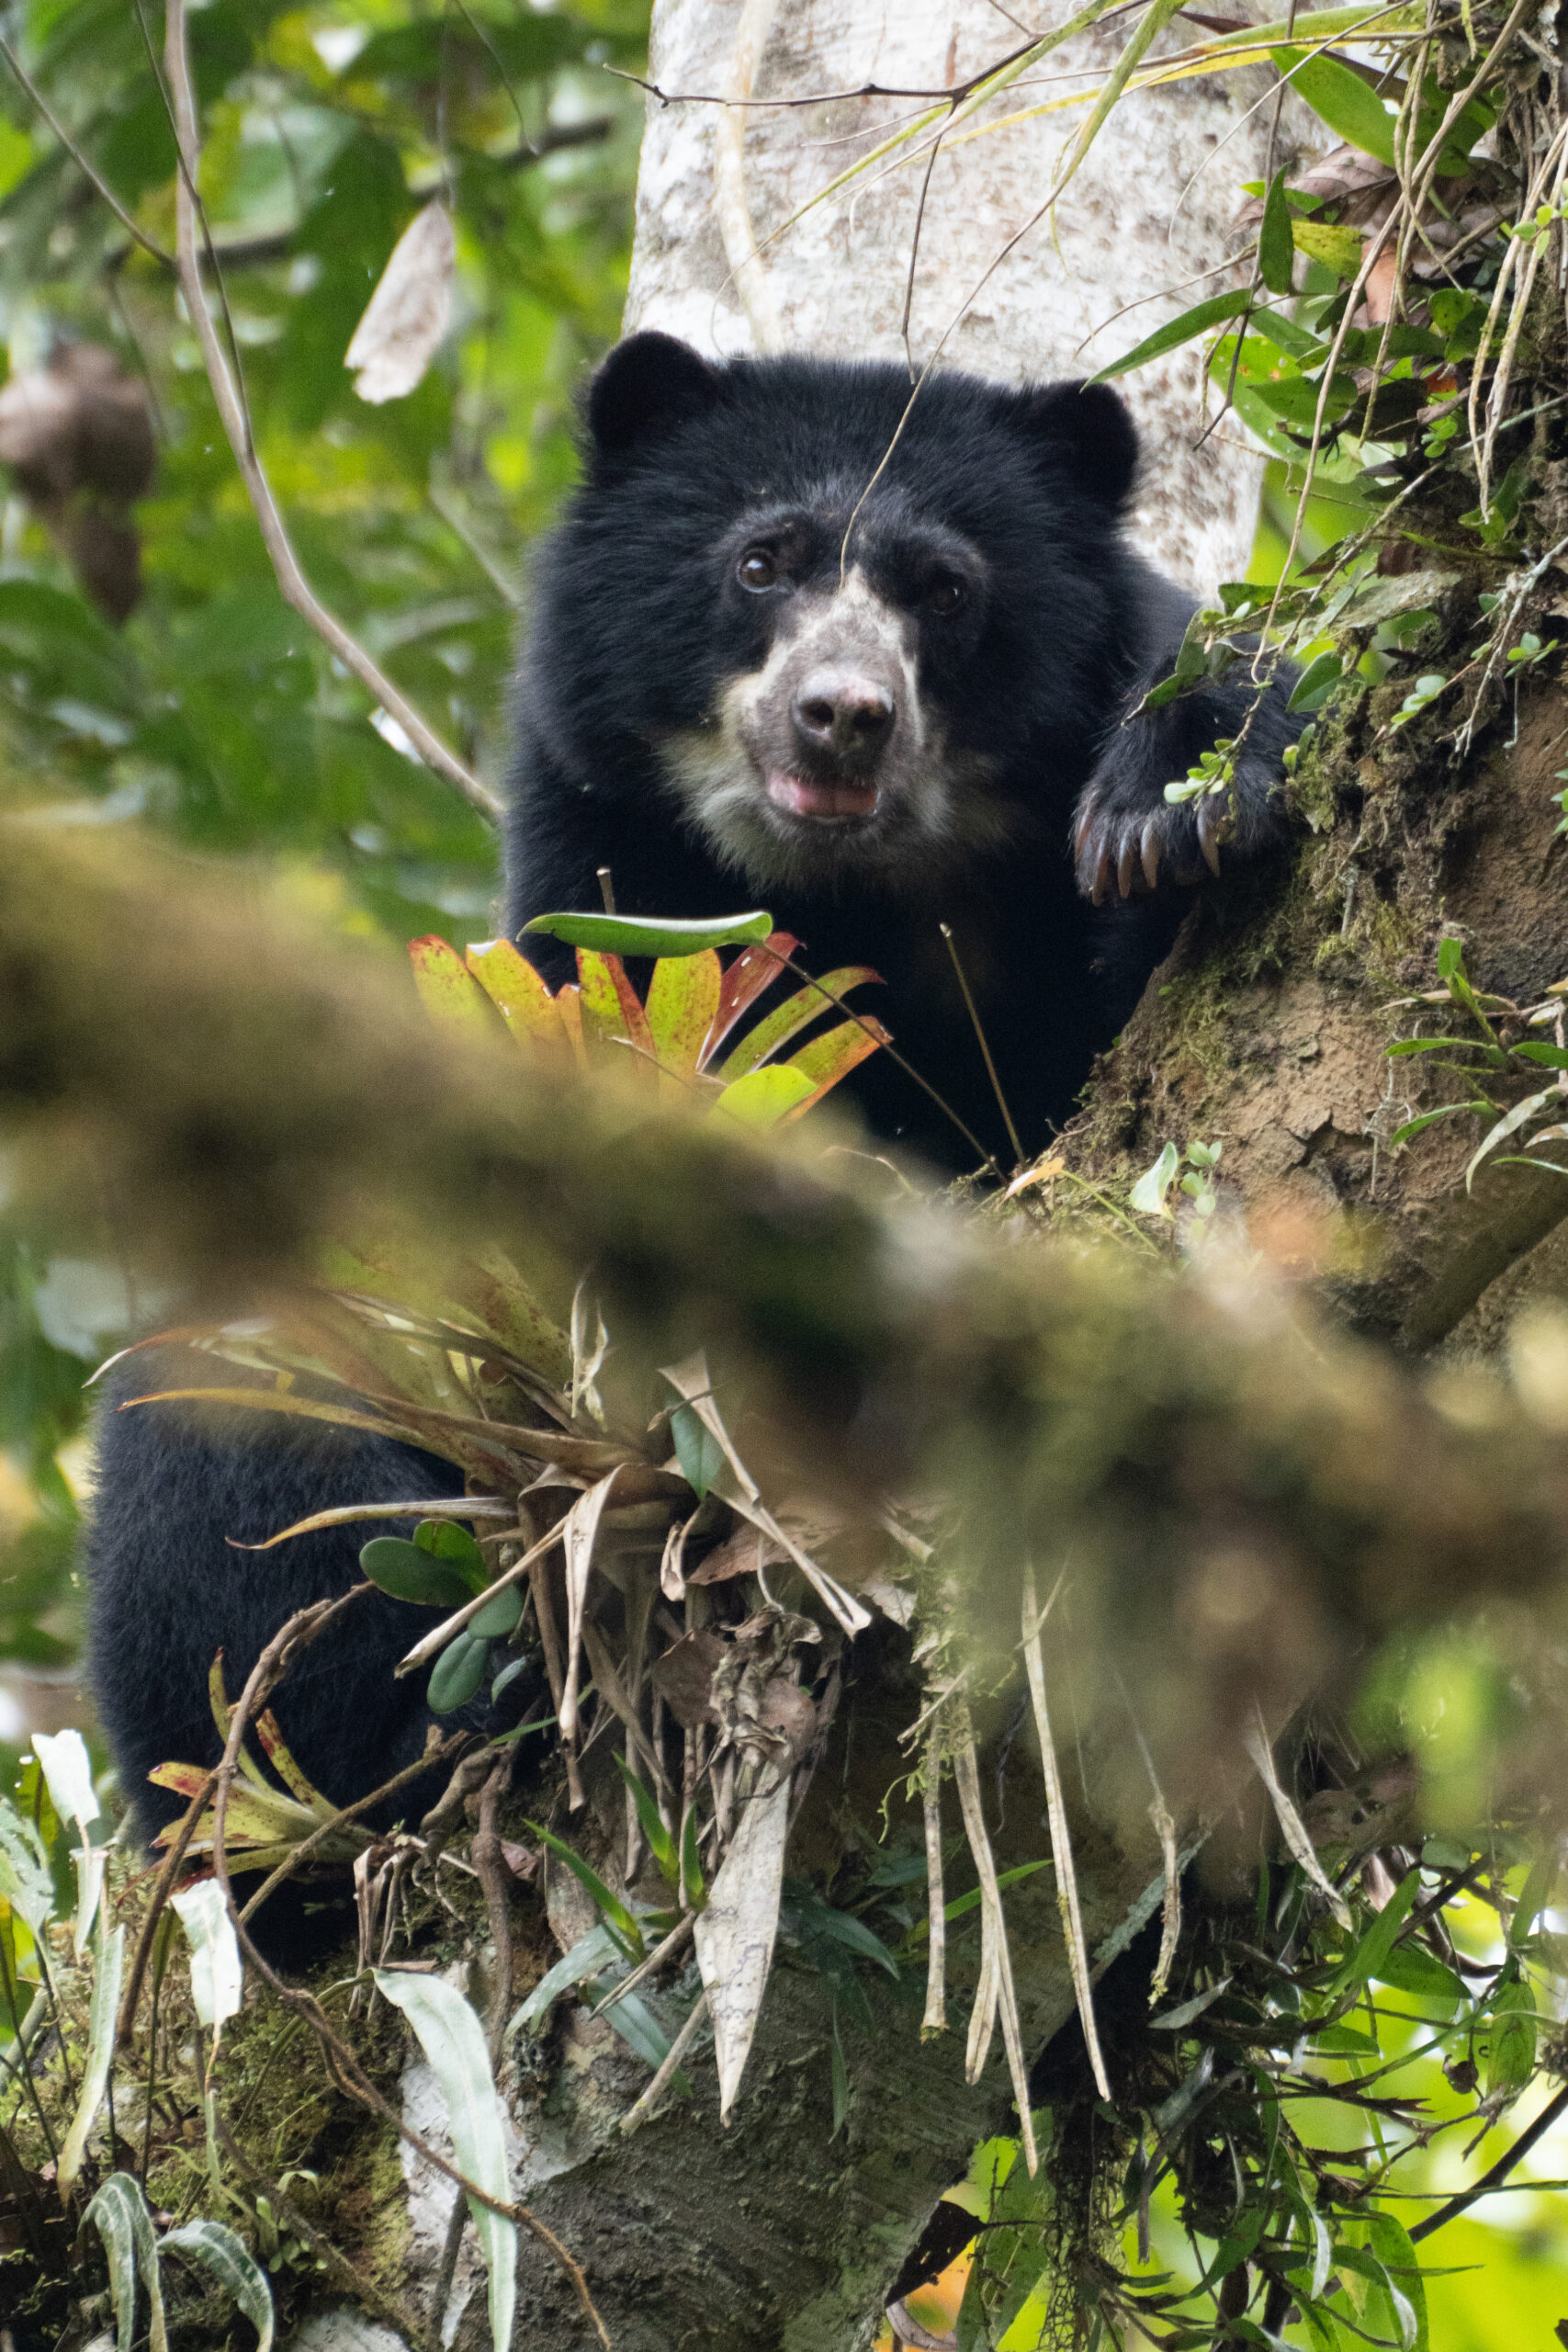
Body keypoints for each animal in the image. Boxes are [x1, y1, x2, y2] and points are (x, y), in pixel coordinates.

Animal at [504, 330, 1299, 1173]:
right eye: (758, 565)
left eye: (945, 590)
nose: (843, 714)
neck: (871, 880)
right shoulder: (599, 830)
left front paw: (1157, 823)